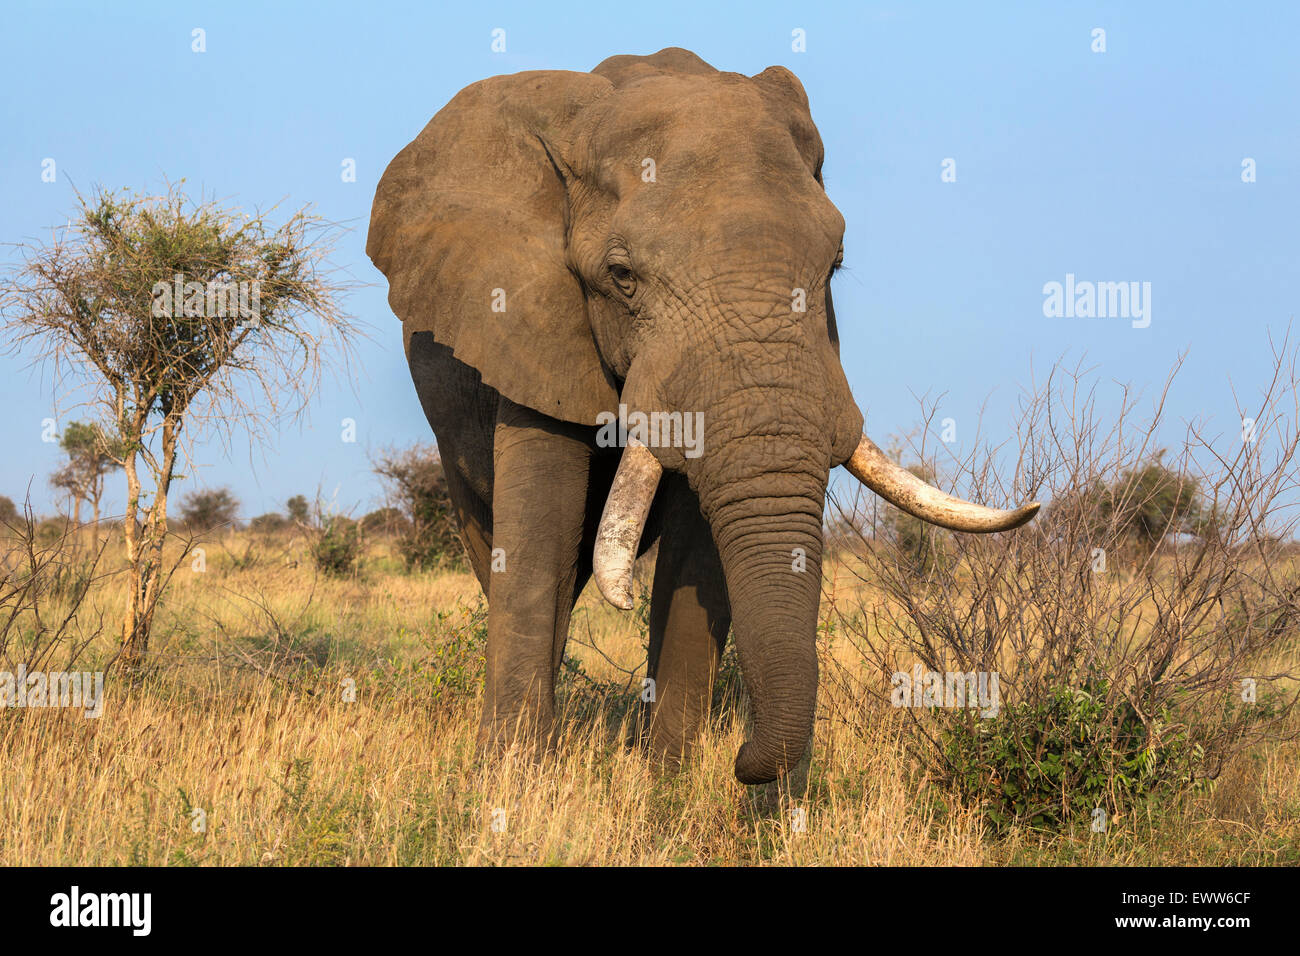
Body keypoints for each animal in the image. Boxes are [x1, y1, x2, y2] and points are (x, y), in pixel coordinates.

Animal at [367, 47, 1038, 786]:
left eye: (835, 266)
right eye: (622, 276)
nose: (748, 762)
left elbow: (698, 549)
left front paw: (666, 787)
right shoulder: (523, 321)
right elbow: (540, 525)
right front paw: (512, 783)